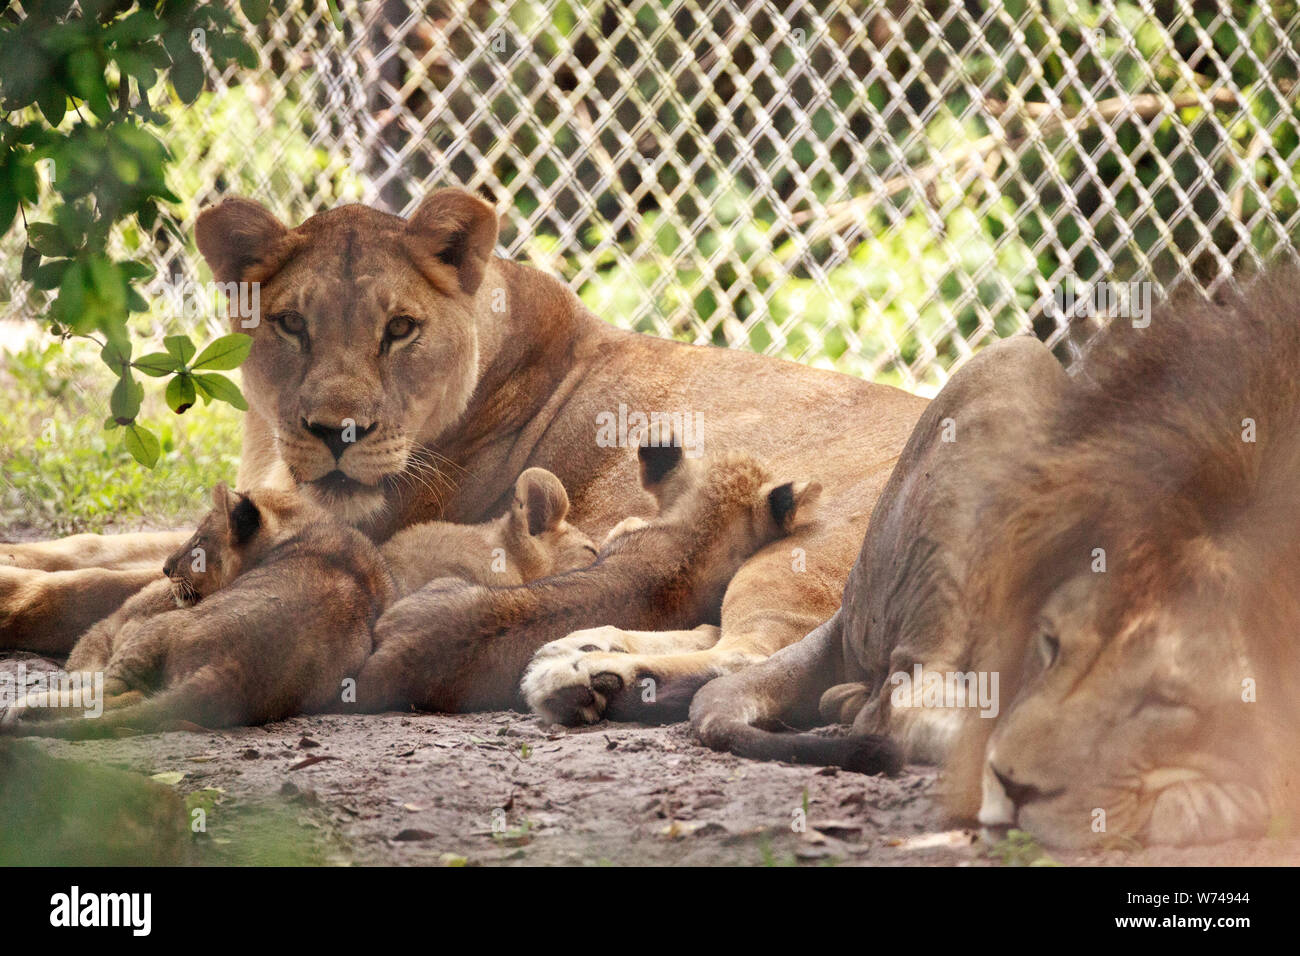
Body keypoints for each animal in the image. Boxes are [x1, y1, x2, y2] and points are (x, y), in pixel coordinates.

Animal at [7, 483, 393, 737]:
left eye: (198, 541)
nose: (164, 568)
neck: (307, 529)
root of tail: (229, 672)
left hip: (162, 627)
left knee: (112, 688)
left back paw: (27, 708)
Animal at [691, 268, 1300, 847]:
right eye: (1051, 643)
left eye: (1170, 700)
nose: (1014, 783)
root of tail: (846, 599)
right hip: (1010, 378)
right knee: (906, 700)